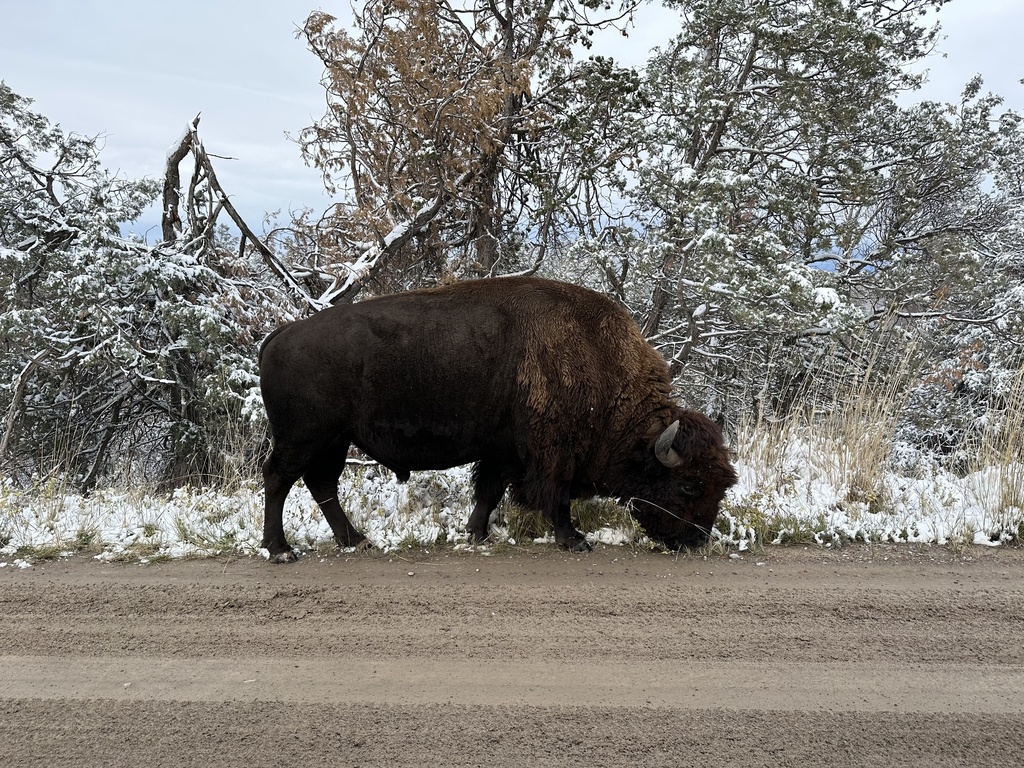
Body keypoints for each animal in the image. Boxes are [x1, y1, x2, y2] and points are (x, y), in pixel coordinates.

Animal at [259, 276, 736, 562]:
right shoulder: (551, 454)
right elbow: (556, 499)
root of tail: (279, 335)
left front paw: (476, 535)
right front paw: (576, 541)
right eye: (689, 485)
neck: (599, 363)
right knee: (279, 479)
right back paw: (282, 550)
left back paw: (355, 540)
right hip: (304, 438)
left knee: (322, 484)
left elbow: (488, 492)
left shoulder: (504, 451)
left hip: (334, 440)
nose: (698, 539)